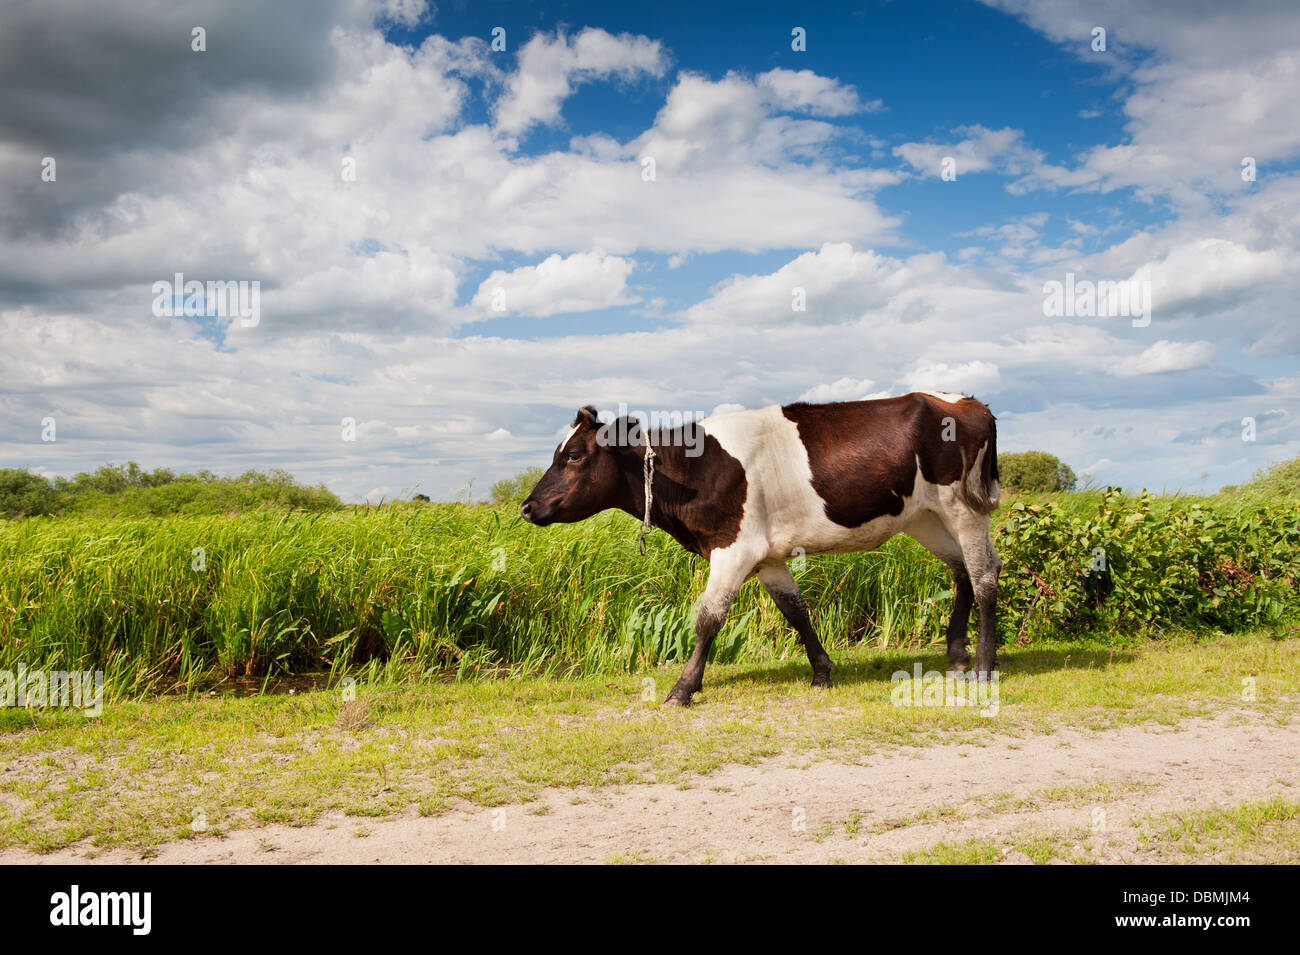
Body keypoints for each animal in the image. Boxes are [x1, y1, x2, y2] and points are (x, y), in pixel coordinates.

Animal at [520, 392, 1002, 706]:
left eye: (574, 456)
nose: (526, 507)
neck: (694, 468)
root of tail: (966, 402)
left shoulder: (735, 548)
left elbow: (708, 618)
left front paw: (683, 688)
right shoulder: (767, 556)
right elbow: (795, 611)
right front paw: (822, 671)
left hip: (963, 506)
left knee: (984, 576)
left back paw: (982, 665)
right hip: (923, 517)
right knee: (962, 570)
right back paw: (957, 655)